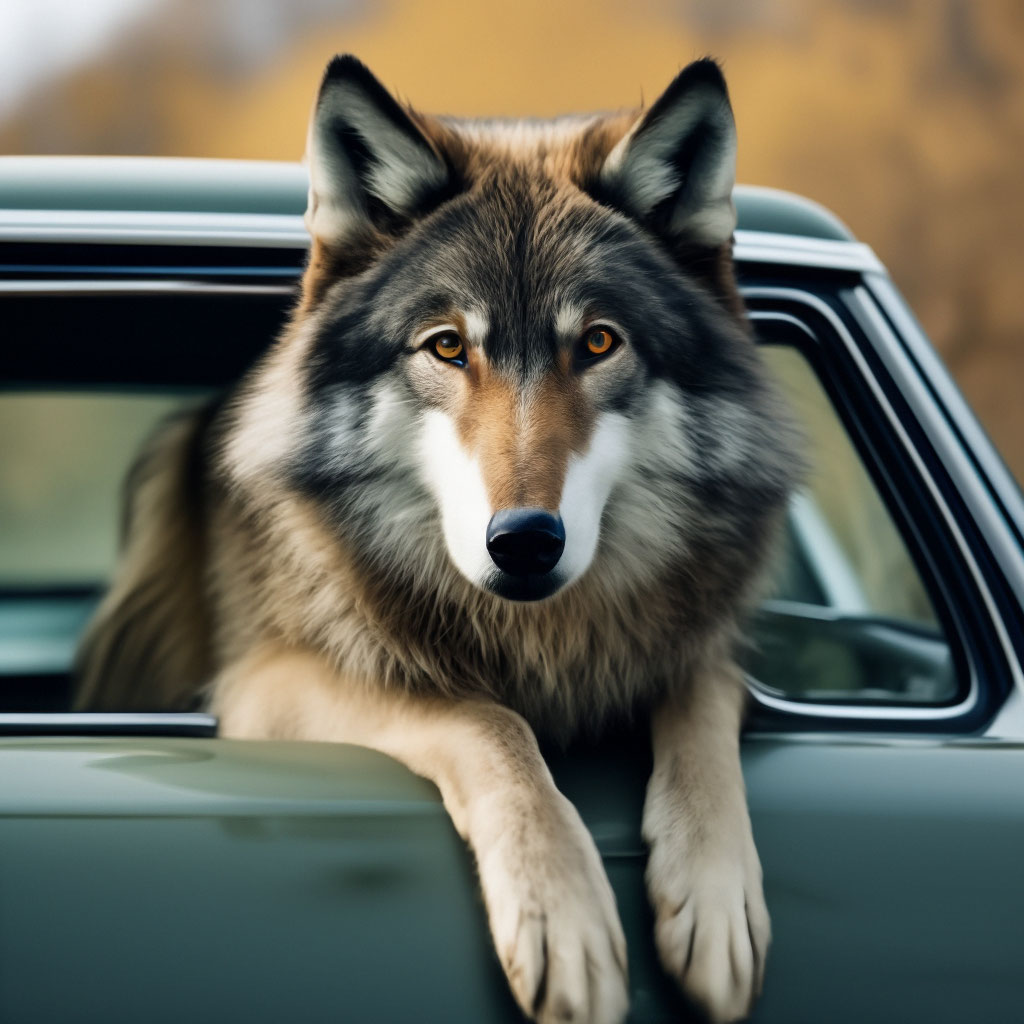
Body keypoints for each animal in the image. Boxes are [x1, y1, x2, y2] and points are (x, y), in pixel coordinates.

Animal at [76, 55, 800, 1023]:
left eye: (598, 343)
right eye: (448, 347)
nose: (524, 540)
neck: (539, 645)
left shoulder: (696, 647)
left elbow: (702, 696)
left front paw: (715, 900)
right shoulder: (266, 683)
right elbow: (485, 719)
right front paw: (562, 913)